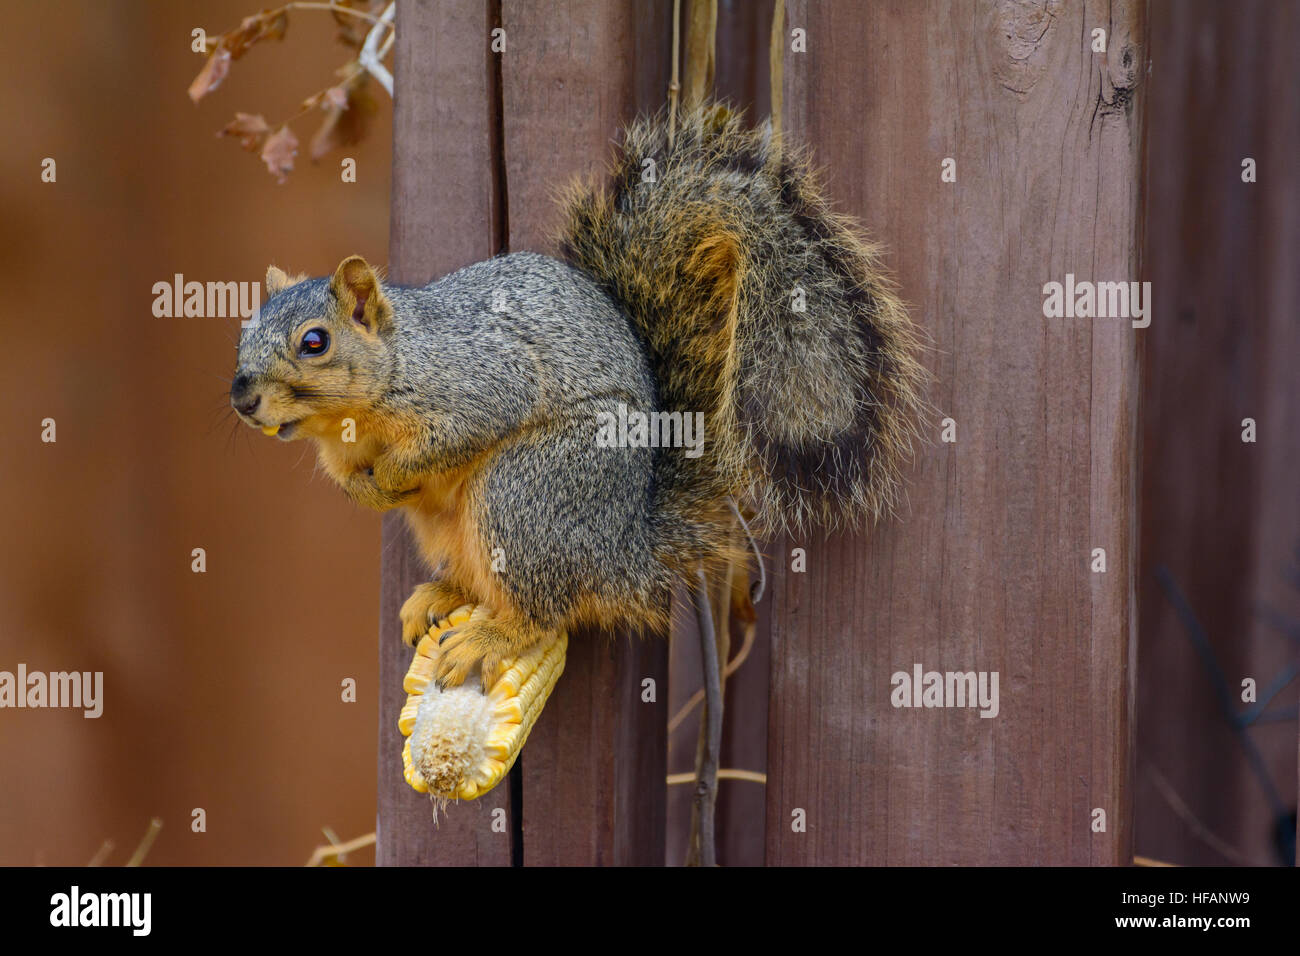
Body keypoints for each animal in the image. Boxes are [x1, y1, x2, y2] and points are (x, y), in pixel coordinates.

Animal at [231, 104, 926, 691]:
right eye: (241, 331)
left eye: (314, 342)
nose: (242, 401)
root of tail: (622, 551)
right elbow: (349, 478)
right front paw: (367, 492)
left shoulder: (481, 379)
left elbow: (461, 430)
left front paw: (397, 473)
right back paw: (443, 594)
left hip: (526, 491)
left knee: (540, 610)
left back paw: (490, 635)